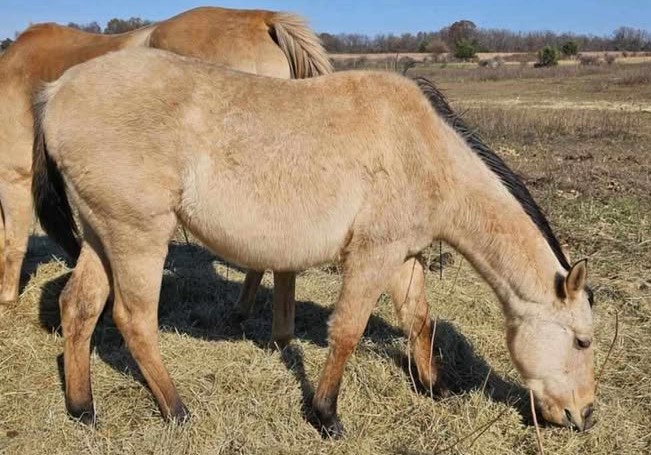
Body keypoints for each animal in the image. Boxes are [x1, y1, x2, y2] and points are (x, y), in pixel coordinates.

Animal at [0, 7, 331, 345]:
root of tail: (261, 19)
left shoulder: (14, 175)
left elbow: (12, 243)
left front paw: (6, 299)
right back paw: (248, 314)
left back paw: (276, 331)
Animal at [32, 47, 596, 437]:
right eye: (582, 341)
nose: (583, 415)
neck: (423, 148)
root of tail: (57, 90)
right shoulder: (372, 256)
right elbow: (346, 330)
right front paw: (326, 416)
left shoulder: (403, 255)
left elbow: (418, 319)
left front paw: (434, 387)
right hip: (138, 237)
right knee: (134, 320)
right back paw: (177, 409)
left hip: (102, 236)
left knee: (79, 308)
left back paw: (82, 409)